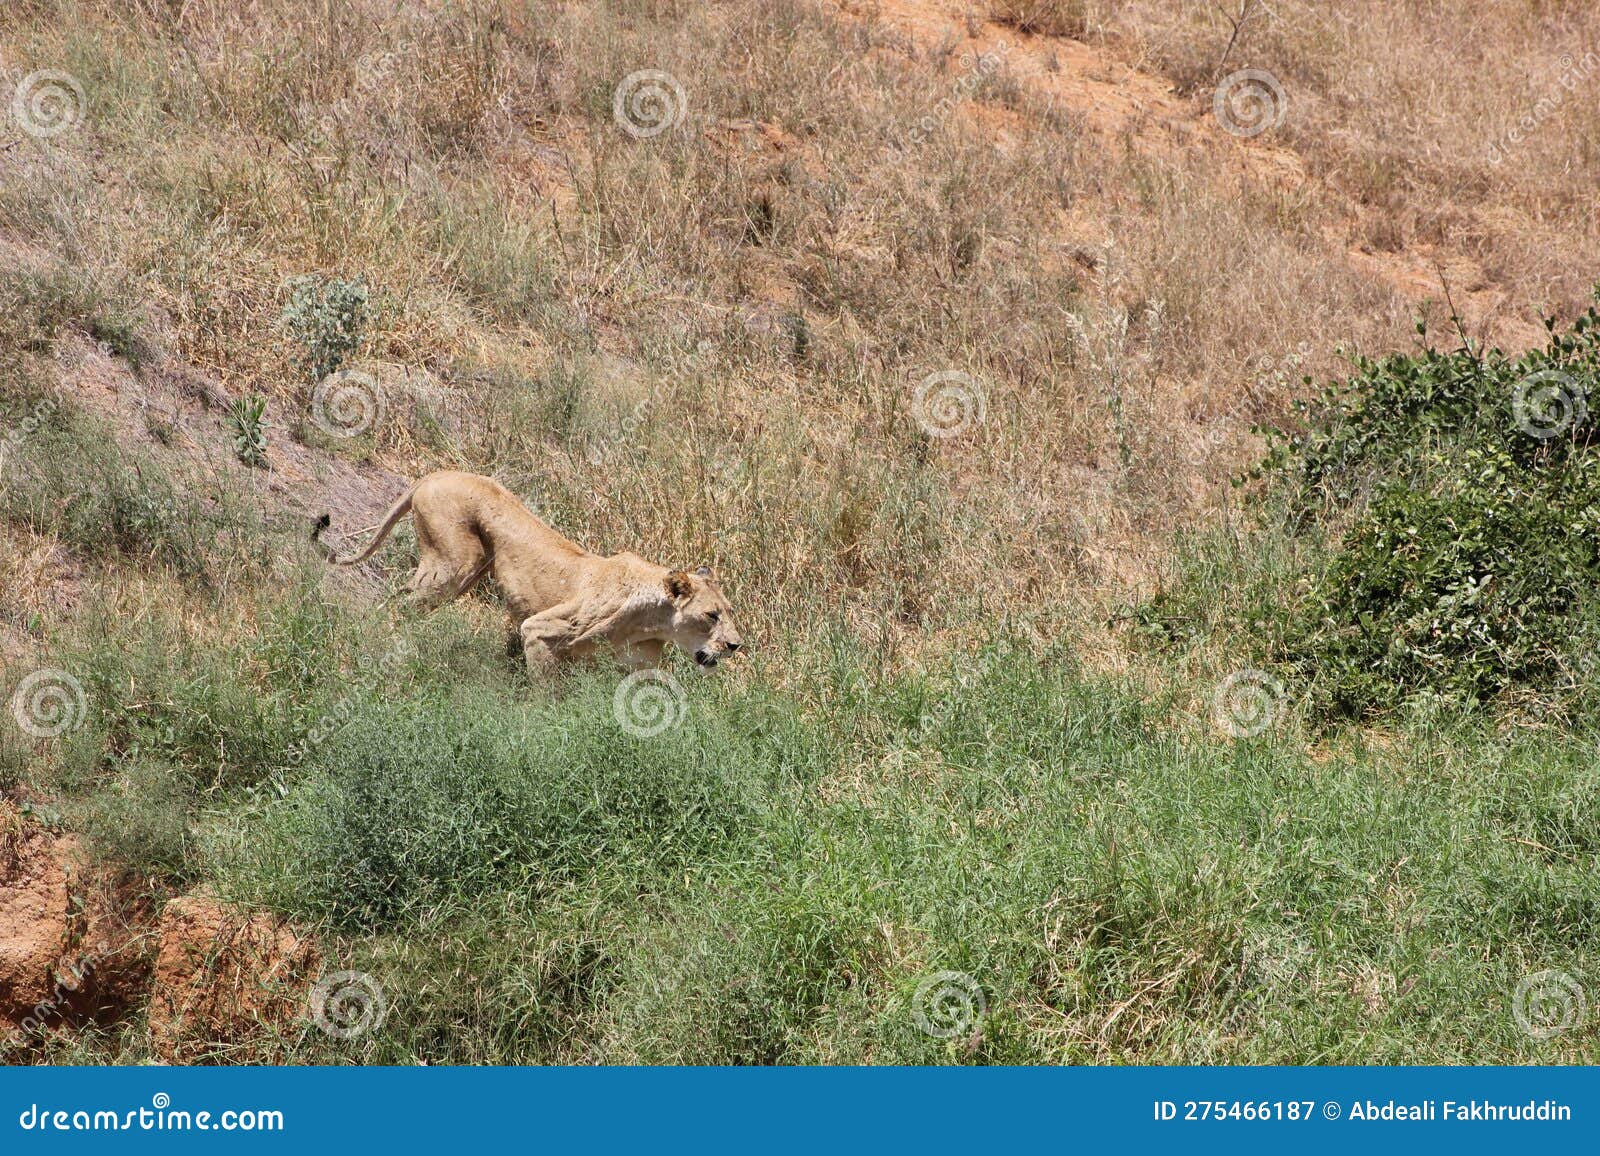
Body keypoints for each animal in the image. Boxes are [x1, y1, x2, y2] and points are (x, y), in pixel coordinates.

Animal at [313, 470, 744, 674]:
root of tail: (435, 474)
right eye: (711, 615)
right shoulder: (539, 630)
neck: (653, 621)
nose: (735, 645)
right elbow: (545, 694)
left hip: (468, 570)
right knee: (396, 604)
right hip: (453, 565)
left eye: (729, 612)